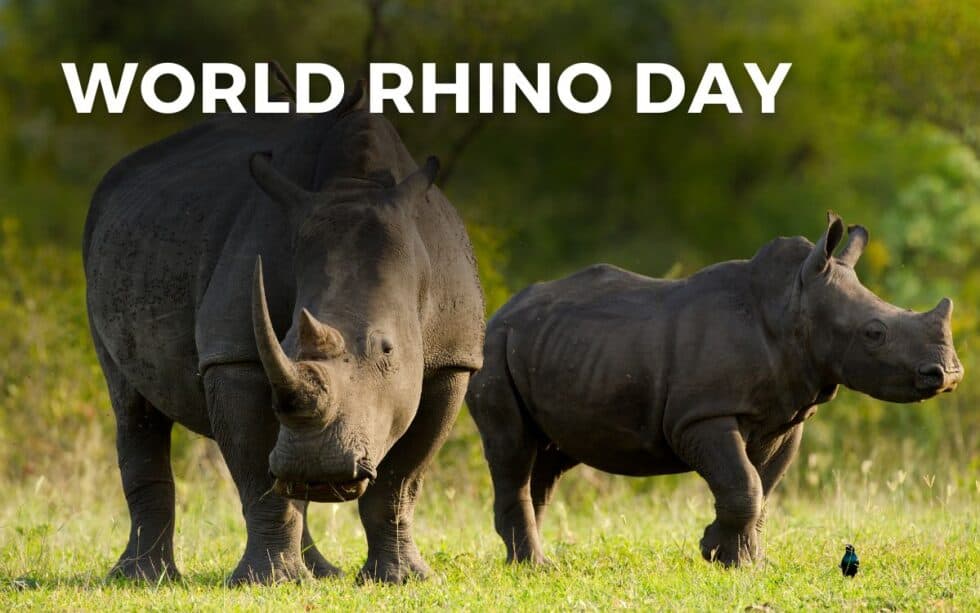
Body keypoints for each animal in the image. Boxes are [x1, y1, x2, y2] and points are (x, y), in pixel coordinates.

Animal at [83, 84, 484, 584]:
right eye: (287, 341)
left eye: (387, 349)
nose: (321, 467)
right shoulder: (234, 355)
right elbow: (260, 476)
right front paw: (268, 582)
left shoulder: (453, 358)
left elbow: (401, 482)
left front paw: (401, 579)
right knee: (132, 406)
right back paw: (144, 578)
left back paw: (322, 570)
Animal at [466, 213, 961, 567]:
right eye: (874, 333)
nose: (949, 374)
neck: (792, 305)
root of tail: (501, 310)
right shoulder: (702, 415)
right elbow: (744, 484)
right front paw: (728, 560)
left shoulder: (784, 416)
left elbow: (760, 487)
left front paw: (736, 558)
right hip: (494, 350)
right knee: (513, 449)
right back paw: (535, 567)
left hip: (552, 346)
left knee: (547, 459)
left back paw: (530, 562)